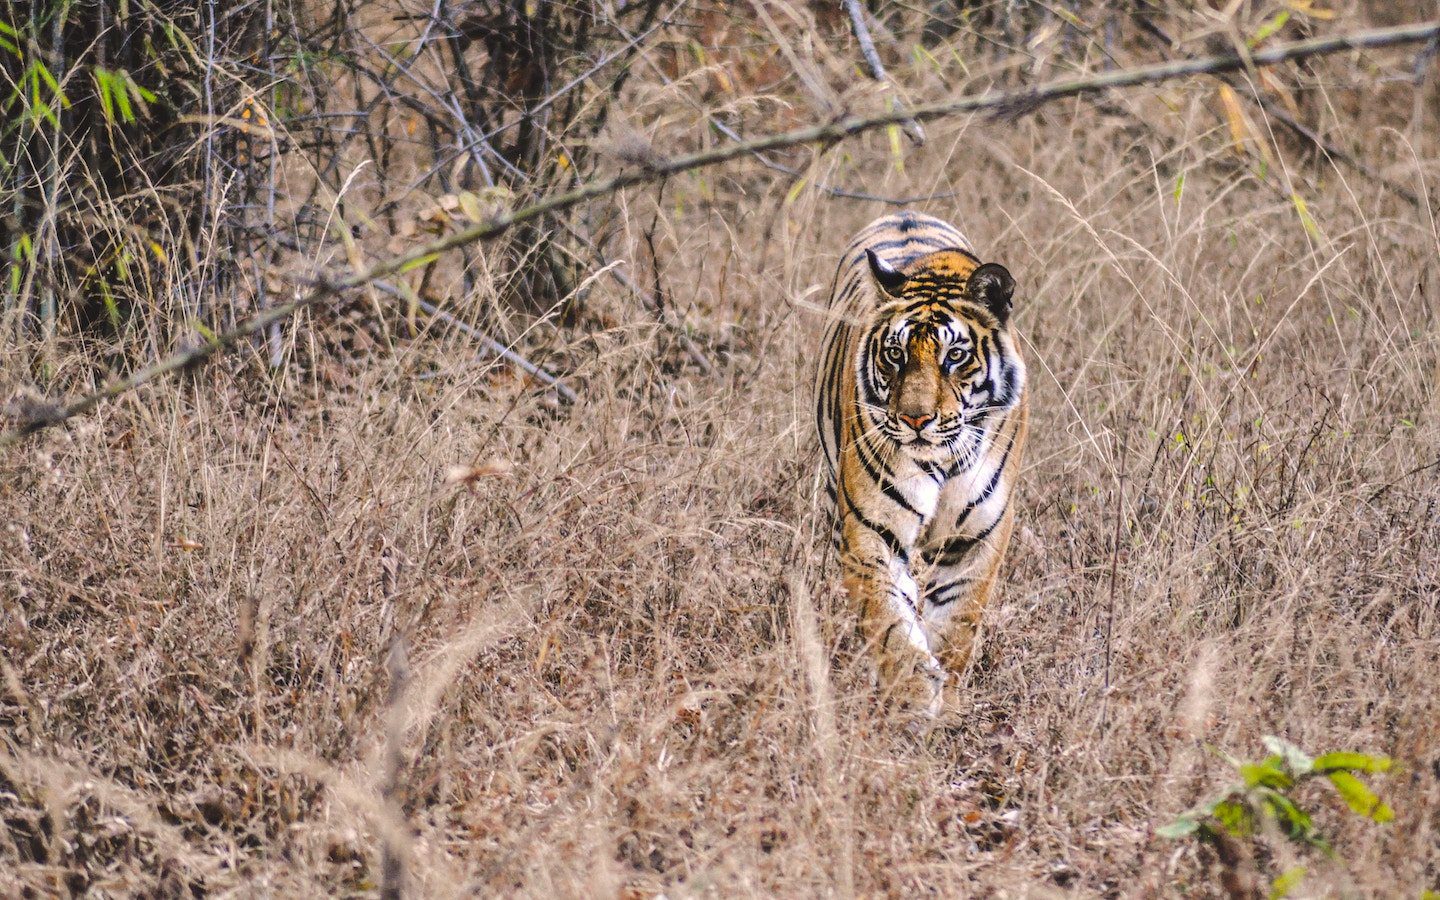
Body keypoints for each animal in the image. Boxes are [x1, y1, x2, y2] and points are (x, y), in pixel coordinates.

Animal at [815, 211, 1028, 718]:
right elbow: (888, 621)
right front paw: (912, 692)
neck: (943, 458)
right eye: (896, 354)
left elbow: (956, 624)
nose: (915, 419)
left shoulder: (977, 539)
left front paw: (945, 701)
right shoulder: (871, 531)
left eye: (956, 356)